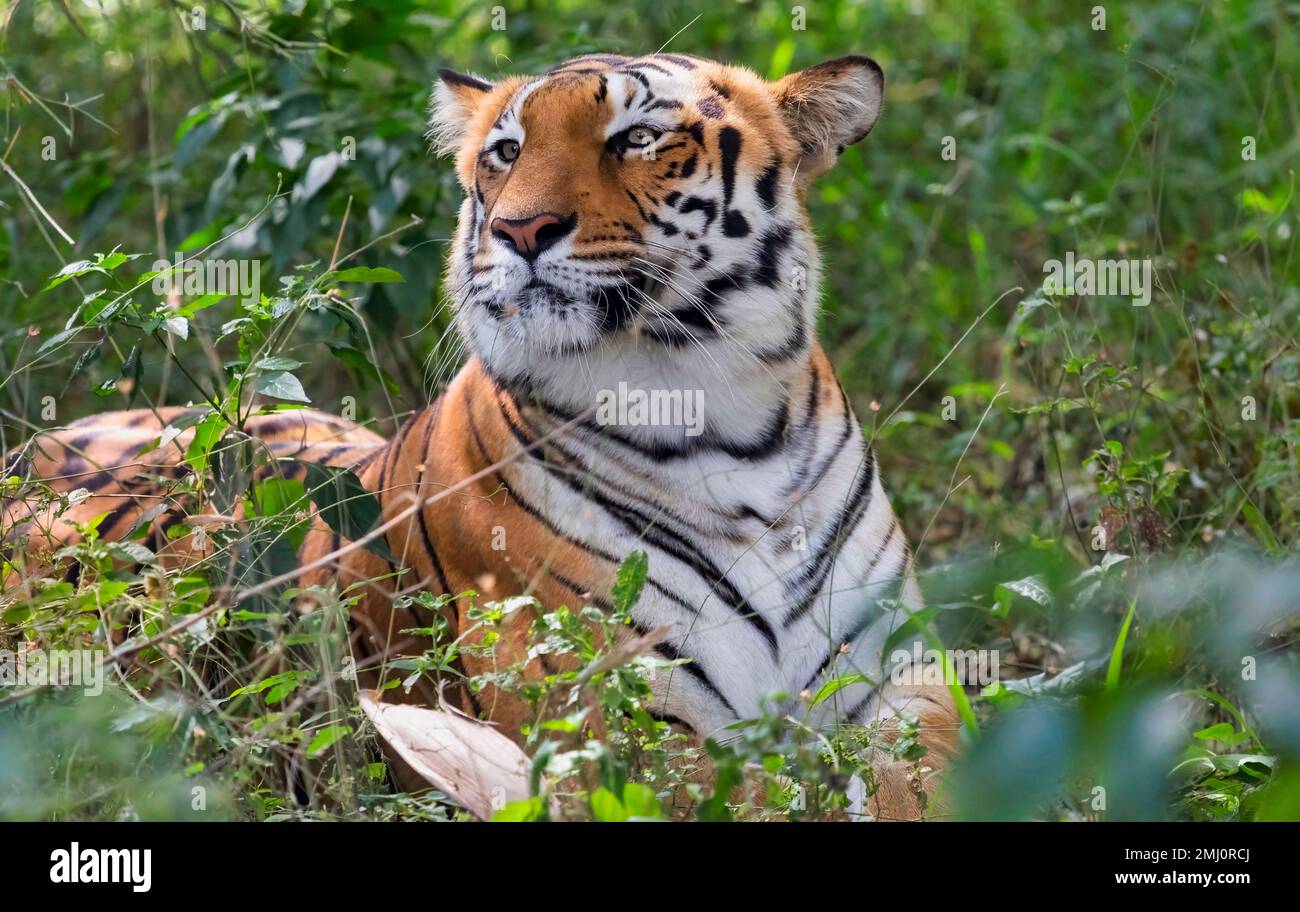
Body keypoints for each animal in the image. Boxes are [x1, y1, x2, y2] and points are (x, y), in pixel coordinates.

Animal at [3, 52, 958, 820]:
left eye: (638, 137)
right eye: (506, 152)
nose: (520, 229)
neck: (722, 420)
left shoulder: (905, 677)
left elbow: (921, 783)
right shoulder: (588, 694)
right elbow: (752, 796)